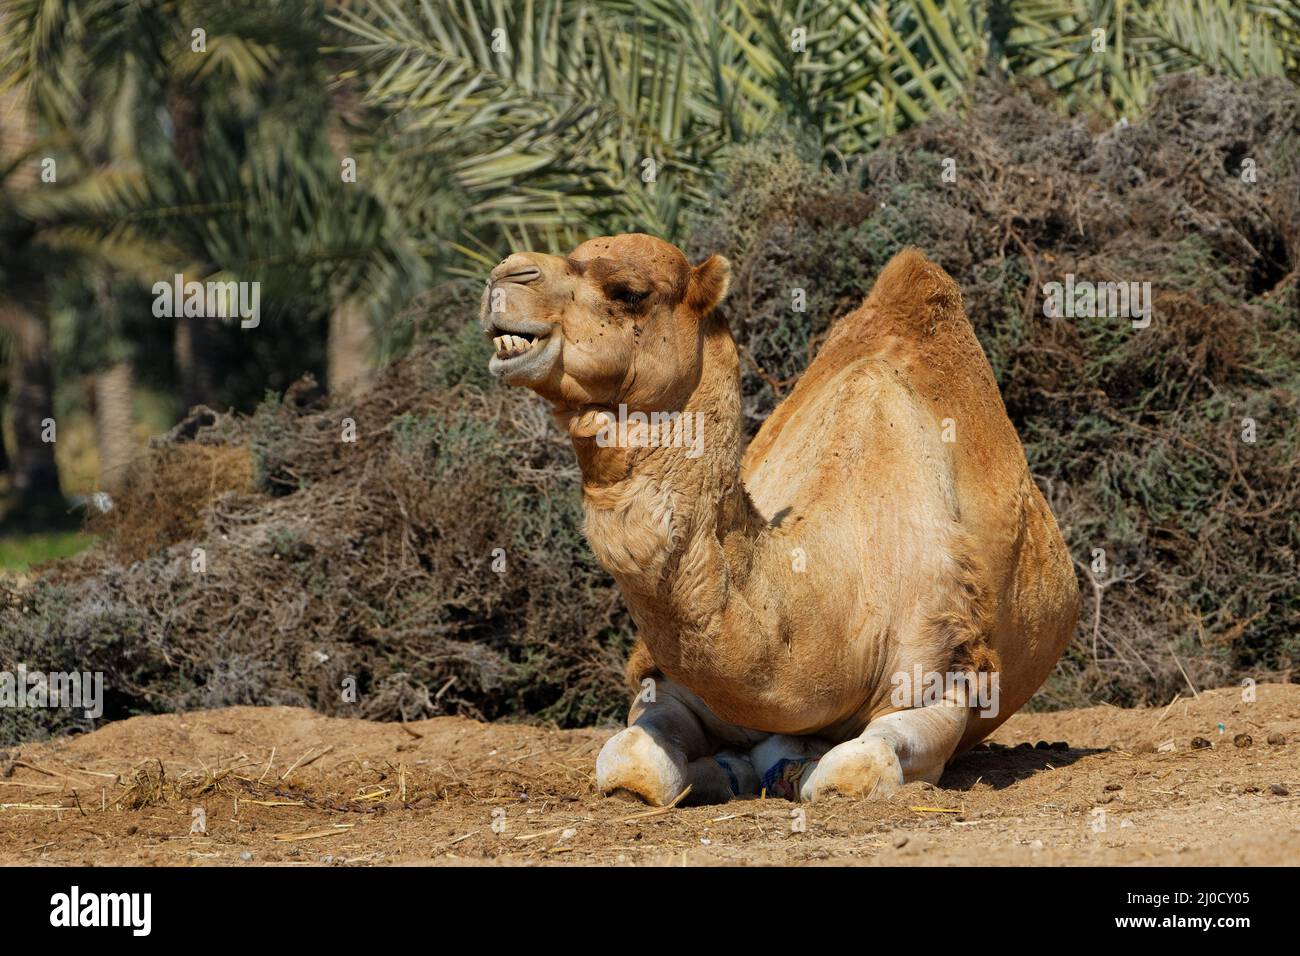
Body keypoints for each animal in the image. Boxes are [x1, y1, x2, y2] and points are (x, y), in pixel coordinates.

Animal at [479, 233, 1078, 804]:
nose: (504, 275)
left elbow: (852, 769)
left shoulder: (945, 668)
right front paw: (725, 770)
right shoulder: (673, 681)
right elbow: (632, 762)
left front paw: (798, 766)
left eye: (629, 291)